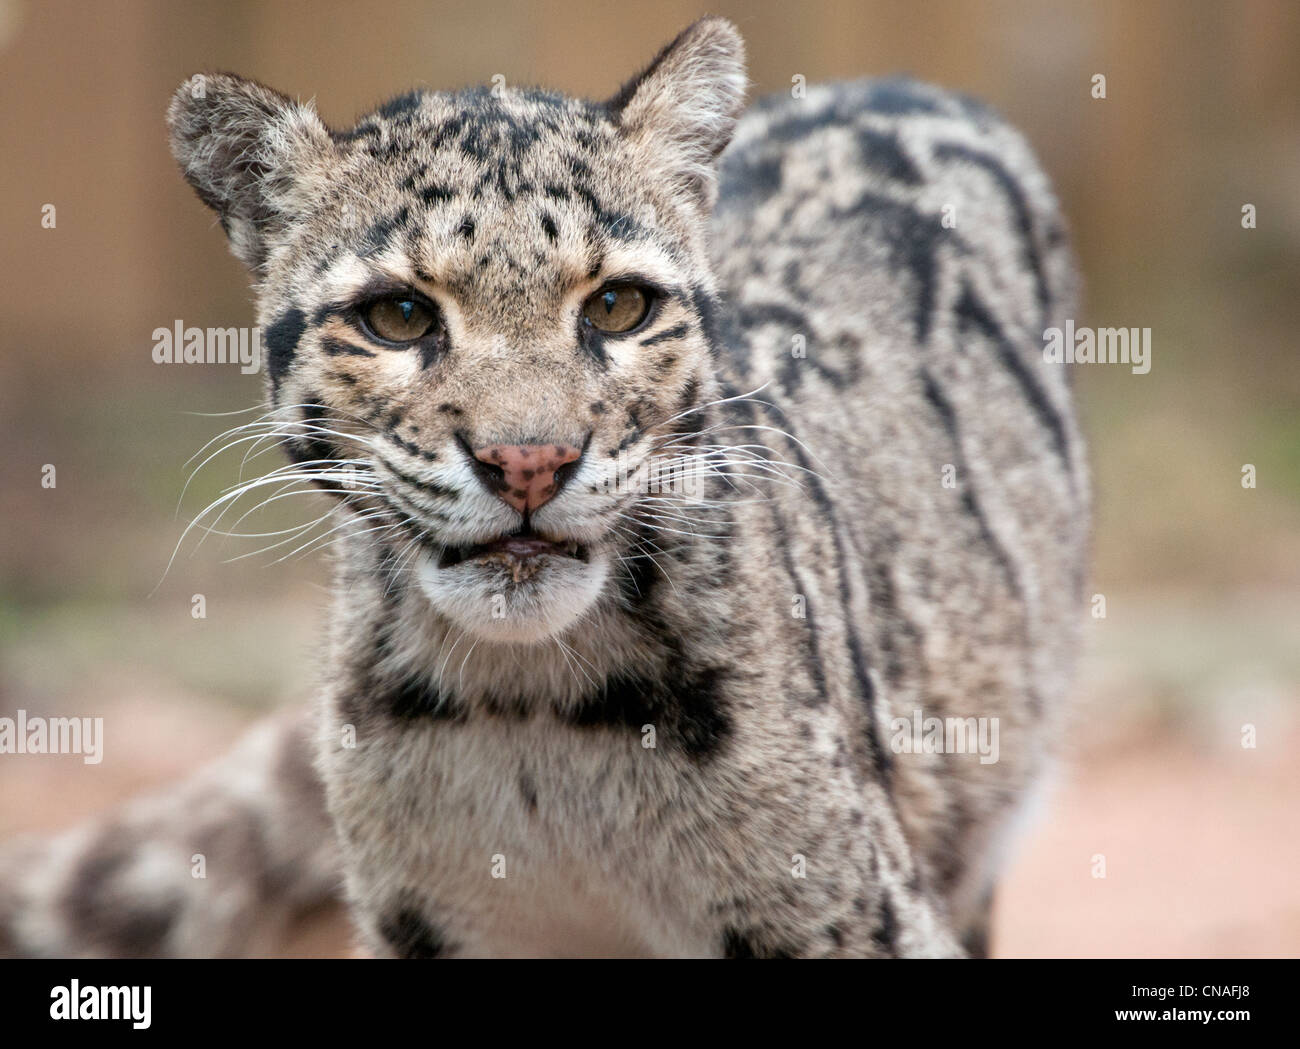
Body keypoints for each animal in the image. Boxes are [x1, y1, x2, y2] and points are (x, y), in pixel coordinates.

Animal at [0, 16, 1088, 958]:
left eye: (618, 304)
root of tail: (898, 82)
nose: (529, 459)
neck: (526, 709)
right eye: (397, 314)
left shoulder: (842, 910)